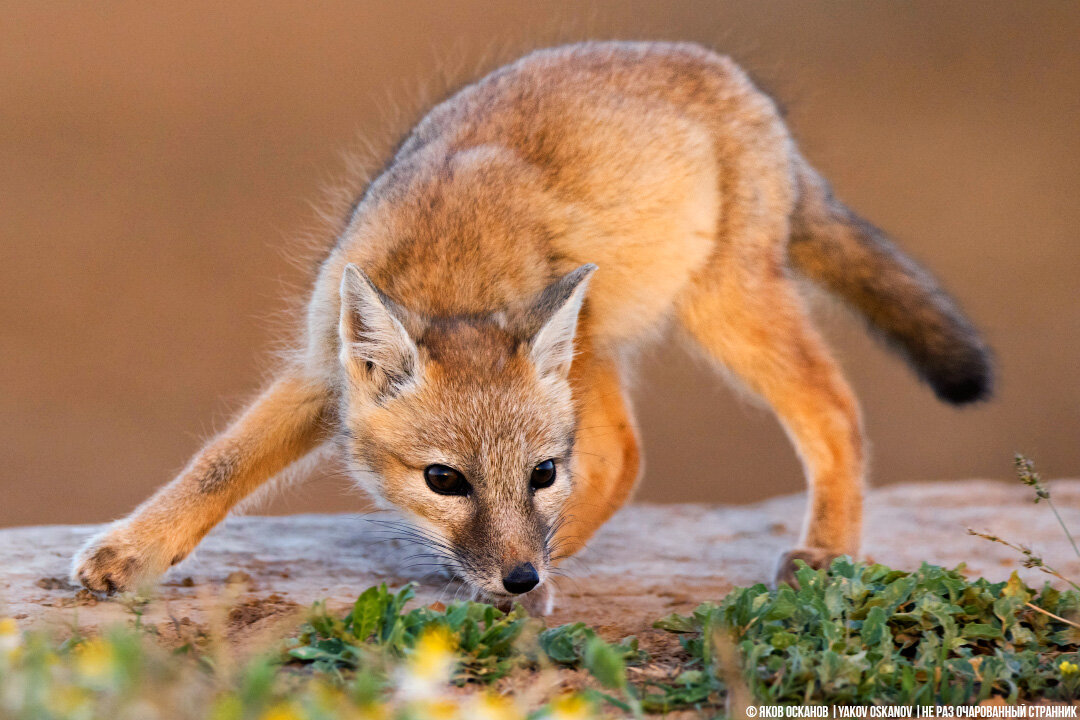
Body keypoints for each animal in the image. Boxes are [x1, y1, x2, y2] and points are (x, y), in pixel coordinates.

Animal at [71, 39, 989, 613]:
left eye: (542, 473)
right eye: (444, 480)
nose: (515, 576)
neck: (453, 277)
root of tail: (734, 79)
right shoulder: (318, 372)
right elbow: (218, 465)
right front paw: (133, 550)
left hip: (700, 316)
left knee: (823, 412)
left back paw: (825, 552)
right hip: (618, 340)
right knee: (631, 455)